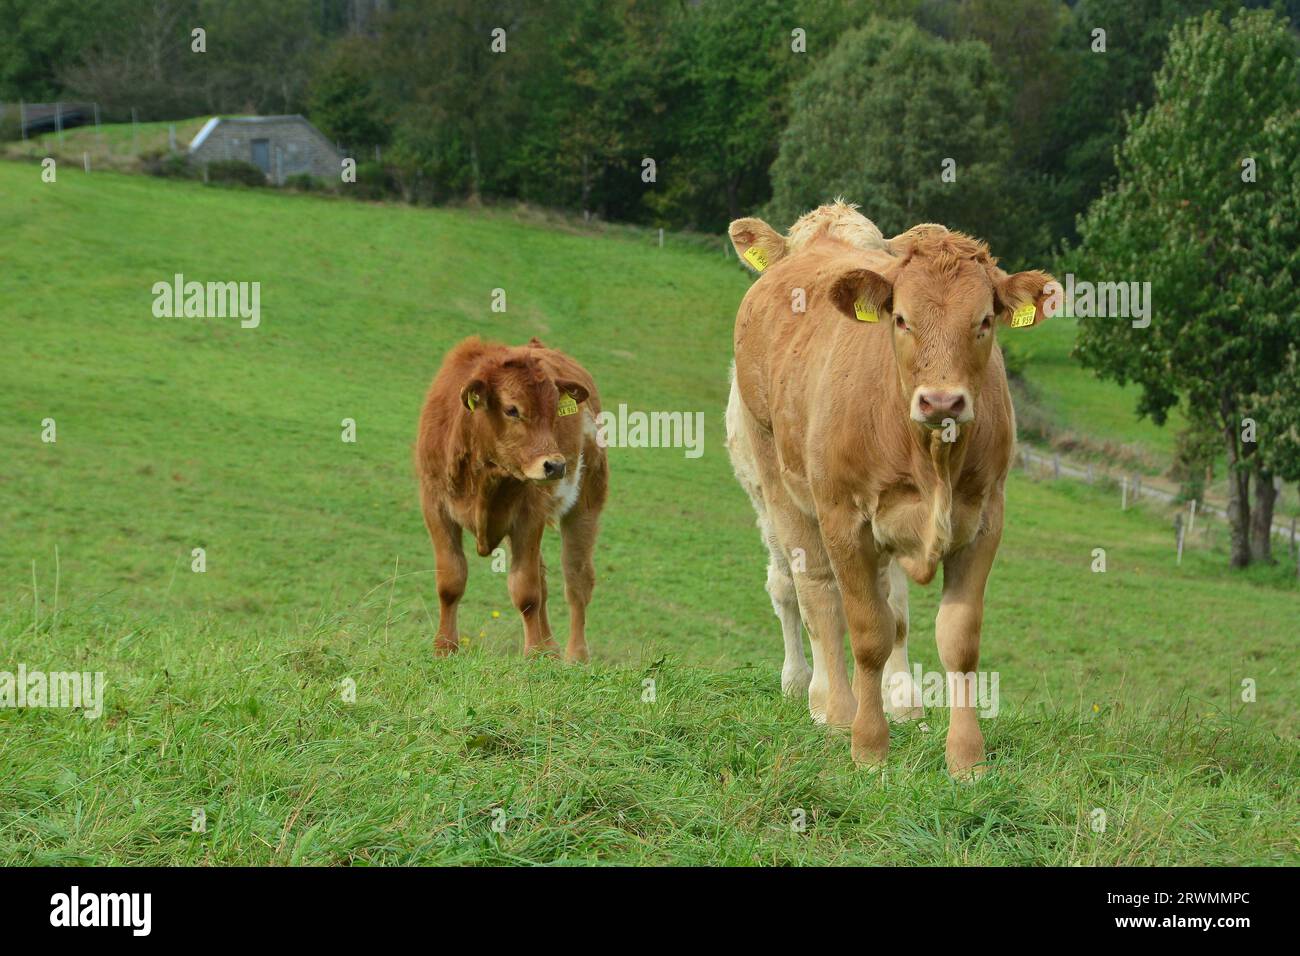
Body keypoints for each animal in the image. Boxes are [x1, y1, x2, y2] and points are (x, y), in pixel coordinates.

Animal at [415, 336, 607, 661]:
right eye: (512, 410)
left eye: (555, 410)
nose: (555, 465)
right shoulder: (435, 506)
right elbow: (451, 581)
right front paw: (444, 647)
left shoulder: (529, 515)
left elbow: (526, 591)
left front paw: (532, 655)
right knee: (545, 579)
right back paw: (549, 649)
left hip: (586, 504)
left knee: (577, 582)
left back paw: (576, 656)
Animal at [726, 205, 1055, 776]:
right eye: (901, 319)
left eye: (984, 321)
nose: (941, 402)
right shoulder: (845, 517)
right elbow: (866, 632)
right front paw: (867, 746)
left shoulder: (984, 520)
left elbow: (956, 640)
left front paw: (965, 758)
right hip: (776, 482)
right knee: (808, 589)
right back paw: (827, 701)